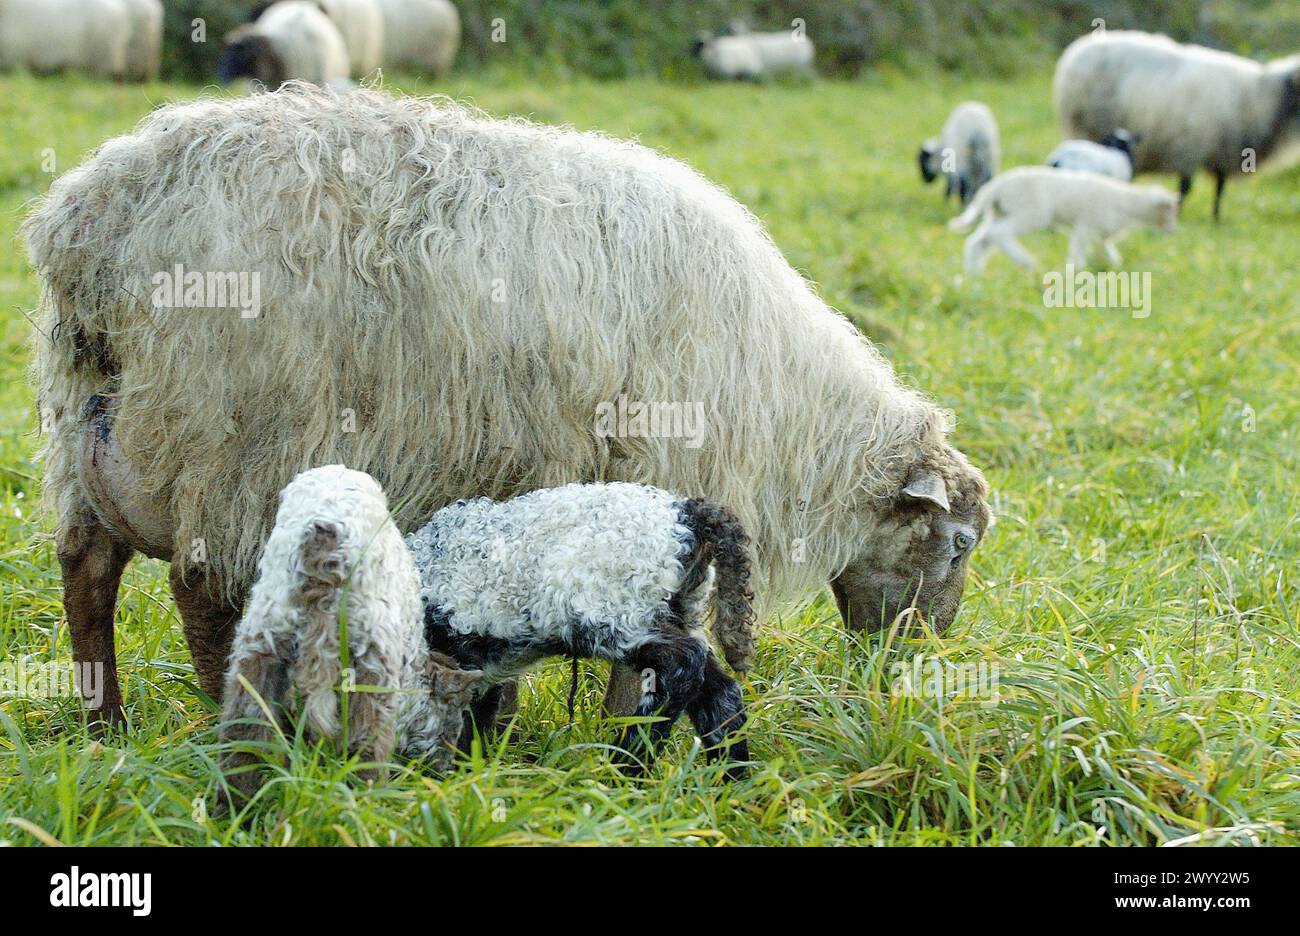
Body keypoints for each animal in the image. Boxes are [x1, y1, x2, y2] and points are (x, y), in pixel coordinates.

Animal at [23, 84, 989, 729]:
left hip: (92, 421)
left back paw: (104, 724)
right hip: (227, 426)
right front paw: (616, 737)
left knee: (87, 571)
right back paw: (229, 713)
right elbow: (649, 638)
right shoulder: (669, 474)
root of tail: (93, 220)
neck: (794, 411)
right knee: (198, 589)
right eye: (958, 544)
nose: (912, 660)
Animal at [220, 465, 483, 800]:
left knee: (242, 735)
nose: (446, 771)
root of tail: (323, 545)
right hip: (369, 657)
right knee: (365, 746)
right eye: (455, 717)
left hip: (262, 639)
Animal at [406, 481, 755, 776]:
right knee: (720, 691)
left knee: (682, 664)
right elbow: (475, 721)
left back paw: (626, 767)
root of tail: (686, 512)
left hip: (623, 615)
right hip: (681, 610)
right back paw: (729, 781)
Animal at [948, 166, 1179, 275]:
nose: (1174, 230)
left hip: (998, 213)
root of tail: (995, 187)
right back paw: (1027, 262)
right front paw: (1076, 270)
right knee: (1000, 234)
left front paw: (1114, 266)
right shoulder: (1085, 225)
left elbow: (1108, 253)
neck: (1128, 203)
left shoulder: (1098, 233)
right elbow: (1079, 252)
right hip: (1029, 214)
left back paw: (973, 274)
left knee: (978, 241)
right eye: (1170, 212)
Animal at [1054, 30, 1300, 220]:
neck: (1261, 97)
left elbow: (1220, 188)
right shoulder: (1190, 149)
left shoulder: (1221, 153)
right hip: (1086, 129)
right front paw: (1178, 213)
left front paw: (1216, 218)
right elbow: (1186, 188)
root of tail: (1074, 52)